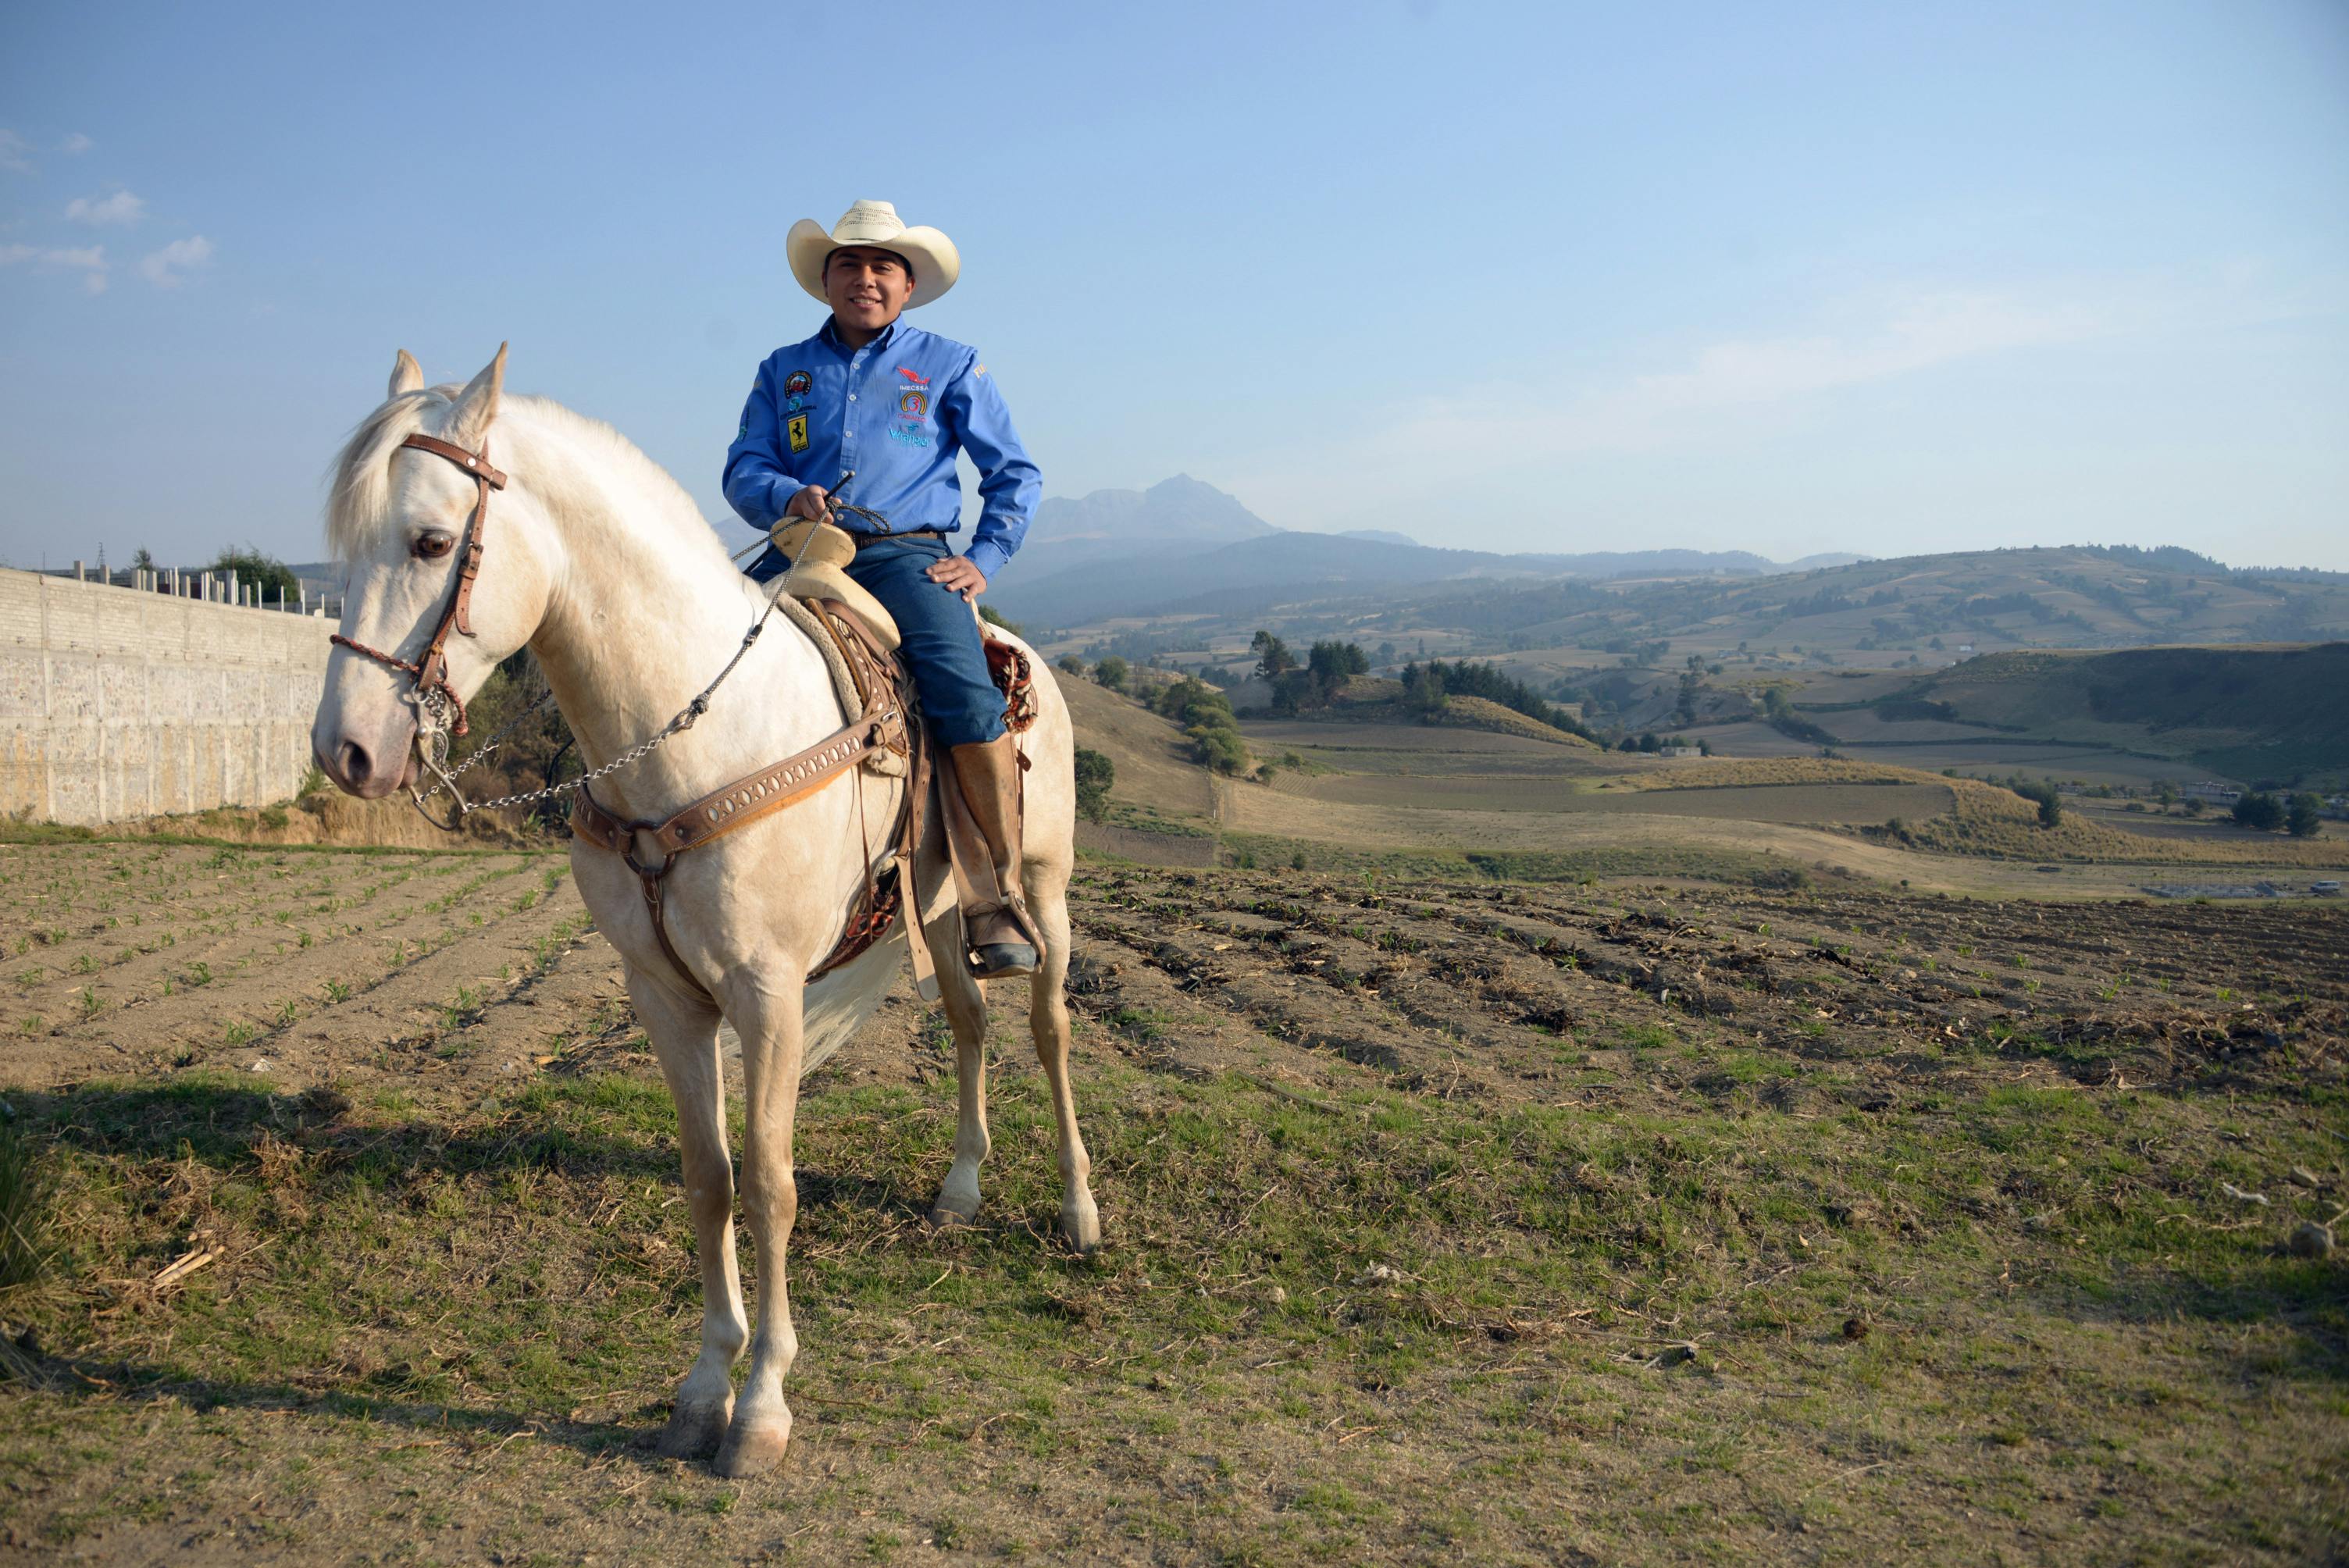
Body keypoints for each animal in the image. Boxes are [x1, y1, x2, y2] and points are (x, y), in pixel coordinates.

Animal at [309, 345, 1099, 1477]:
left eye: (429, 541)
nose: (348, 750)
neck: (686, 733)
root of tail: (1014, 650)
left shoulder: (766, 994)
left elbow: (770, 1183)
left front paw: (761, 1405)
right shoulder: (665, 996)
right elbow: (709, 1177)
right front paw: (699, 1390)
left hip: (1042, 887)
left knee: (1047, 1028)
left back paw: (1080, 1209)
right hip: (947, 908)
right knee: (969, 1022)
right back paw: (958, 1191)